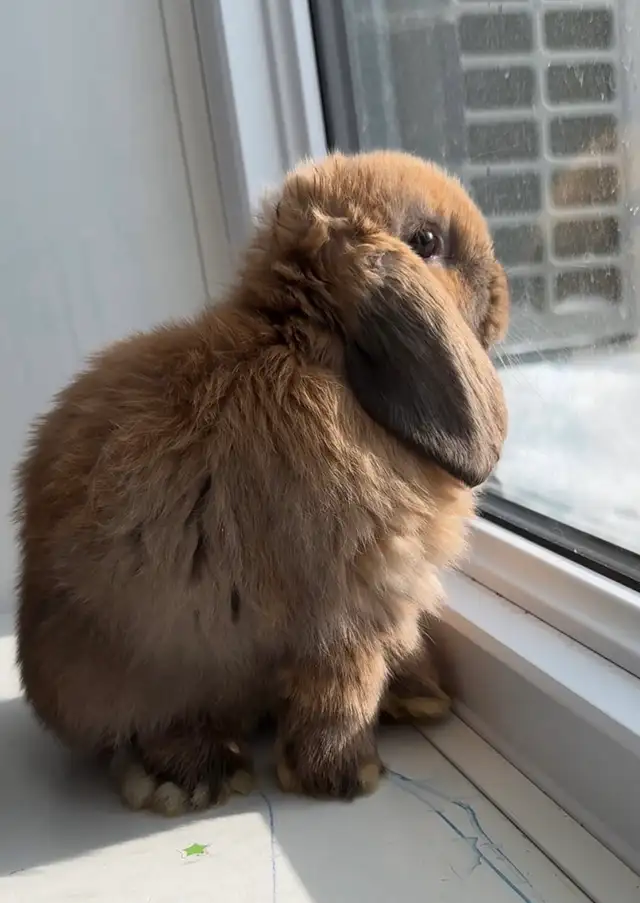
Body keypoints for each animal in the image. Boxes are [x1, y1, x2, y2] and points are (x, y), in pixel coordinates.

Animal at [15, 150, 509, 815]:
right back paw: (196, 778)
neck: (311, 352)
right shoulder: (349, 614)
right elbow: (343, 696)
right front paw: (345, 778)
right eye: (426, 242)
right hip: (144, 669)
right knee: (152, 727)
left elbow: (395, 655)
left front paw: (421, 698)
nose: (502, 289)